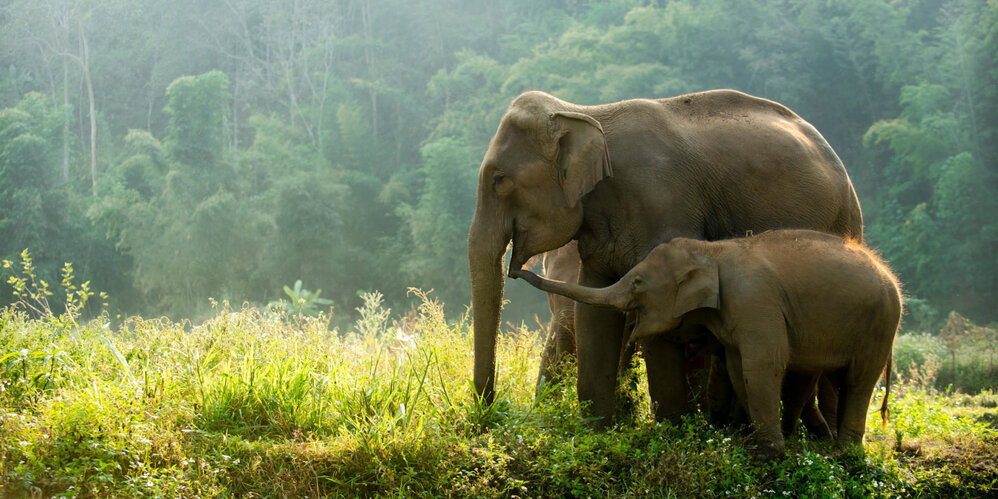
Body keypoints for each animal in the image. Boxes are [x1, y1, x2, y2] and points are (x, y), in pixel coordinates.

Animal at [468, 89, 863, 425]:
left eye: (499, 180)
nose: (516, 269)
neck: (584, 112)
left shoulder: (662, 206)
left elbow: (659, 313)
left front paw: (671, 430)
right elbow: (594, 313)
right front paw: (597, 433)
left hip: (846, 222)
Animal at [511, 229, 901, 460]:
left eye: (637, 282)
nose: (516, 269)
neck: (711, 252)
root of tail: (890, 275)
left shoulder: (754, 302)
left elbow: (763, 363)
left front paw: (768, 455)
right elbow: (737, 365)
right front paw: (747, 441)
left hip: (882, 320)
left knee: (859, 379)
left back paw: (845, 454)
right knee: (841, 377)